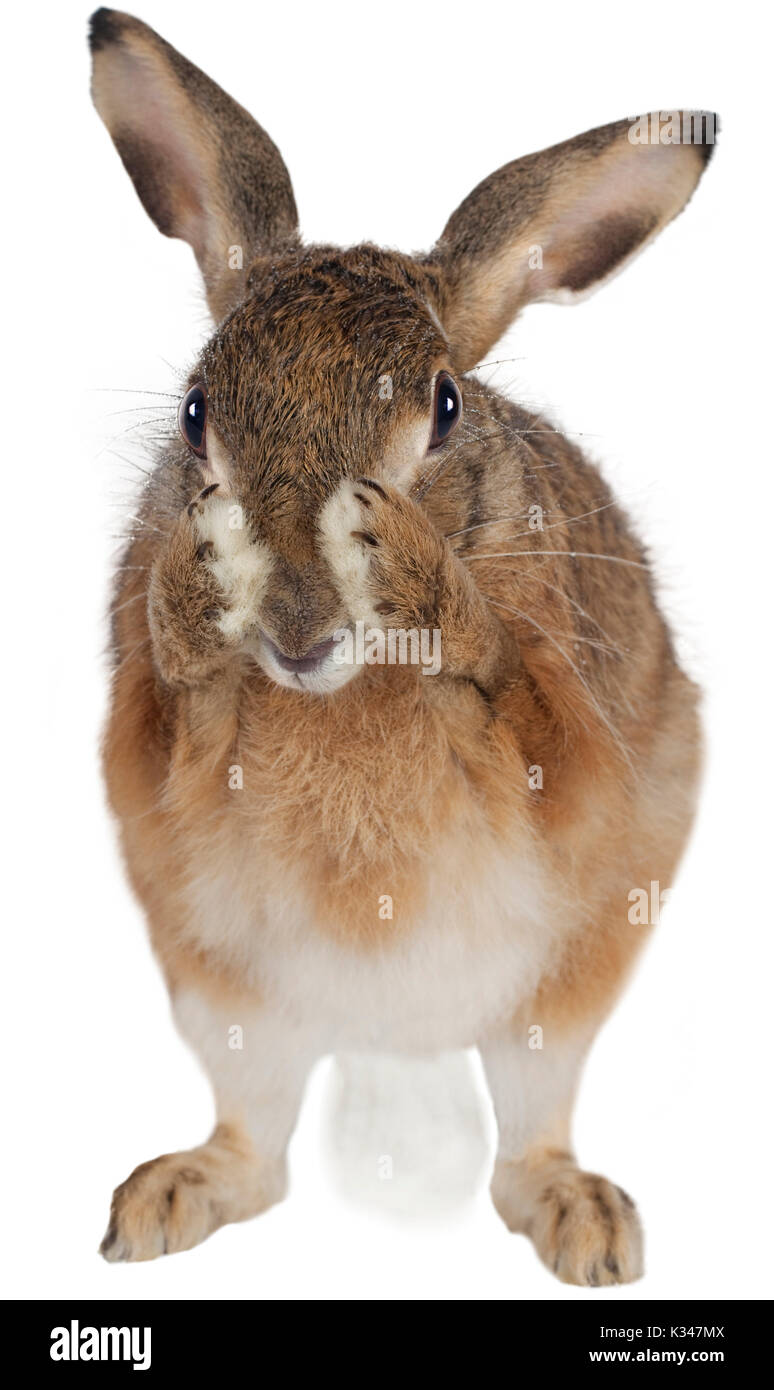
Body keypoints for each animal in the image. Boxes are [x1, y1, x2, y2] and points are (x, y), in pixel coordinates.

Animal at [89, 6, 714, 1283]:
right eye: (195, 412)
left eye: (446, 408)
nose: (297, 623)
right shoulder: (151, 757)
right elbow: (178, 724)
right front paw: (203, 591)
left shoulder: (574, 737)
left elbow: (524, 710)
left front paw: (419, 573)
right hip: (230, 1003)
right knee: (262, 1151)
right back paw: (168, 1199)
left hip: (557, 1009)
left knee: (524, 1134)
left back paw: (585, 1223)